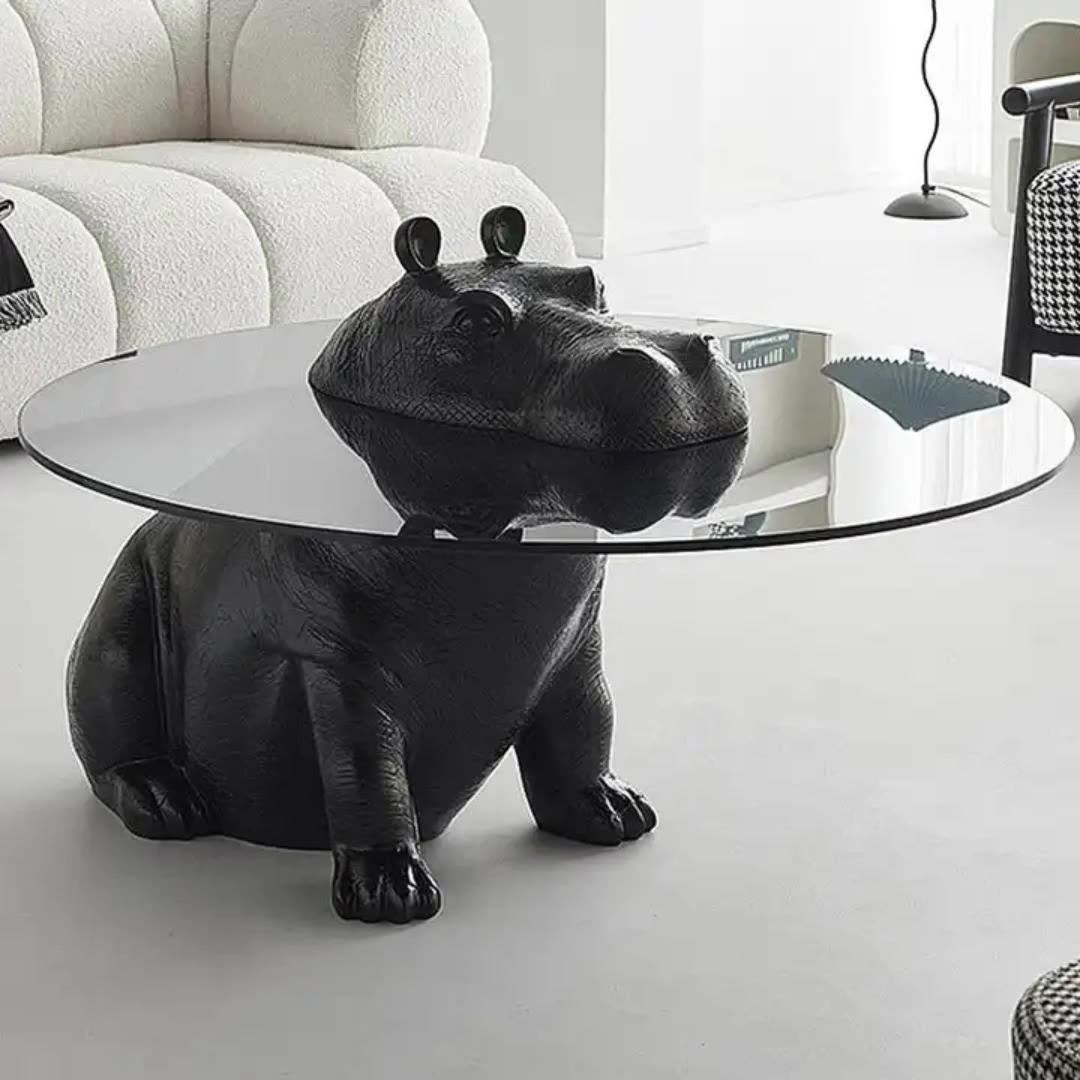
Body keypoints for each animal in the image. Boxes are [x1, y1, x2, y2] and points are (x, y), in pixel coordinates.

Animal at [68, 209, 750, 923]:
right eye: (476, 320)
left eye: (591, 283)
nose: (678, 353)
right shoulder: (339, 666)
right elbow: (368, 774)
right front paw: (390, 893)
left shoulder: (577, 638)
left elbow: (586, 720)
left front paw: (611, 812)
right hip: (115, 632)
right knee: (114, 747)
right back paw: (164, 801)